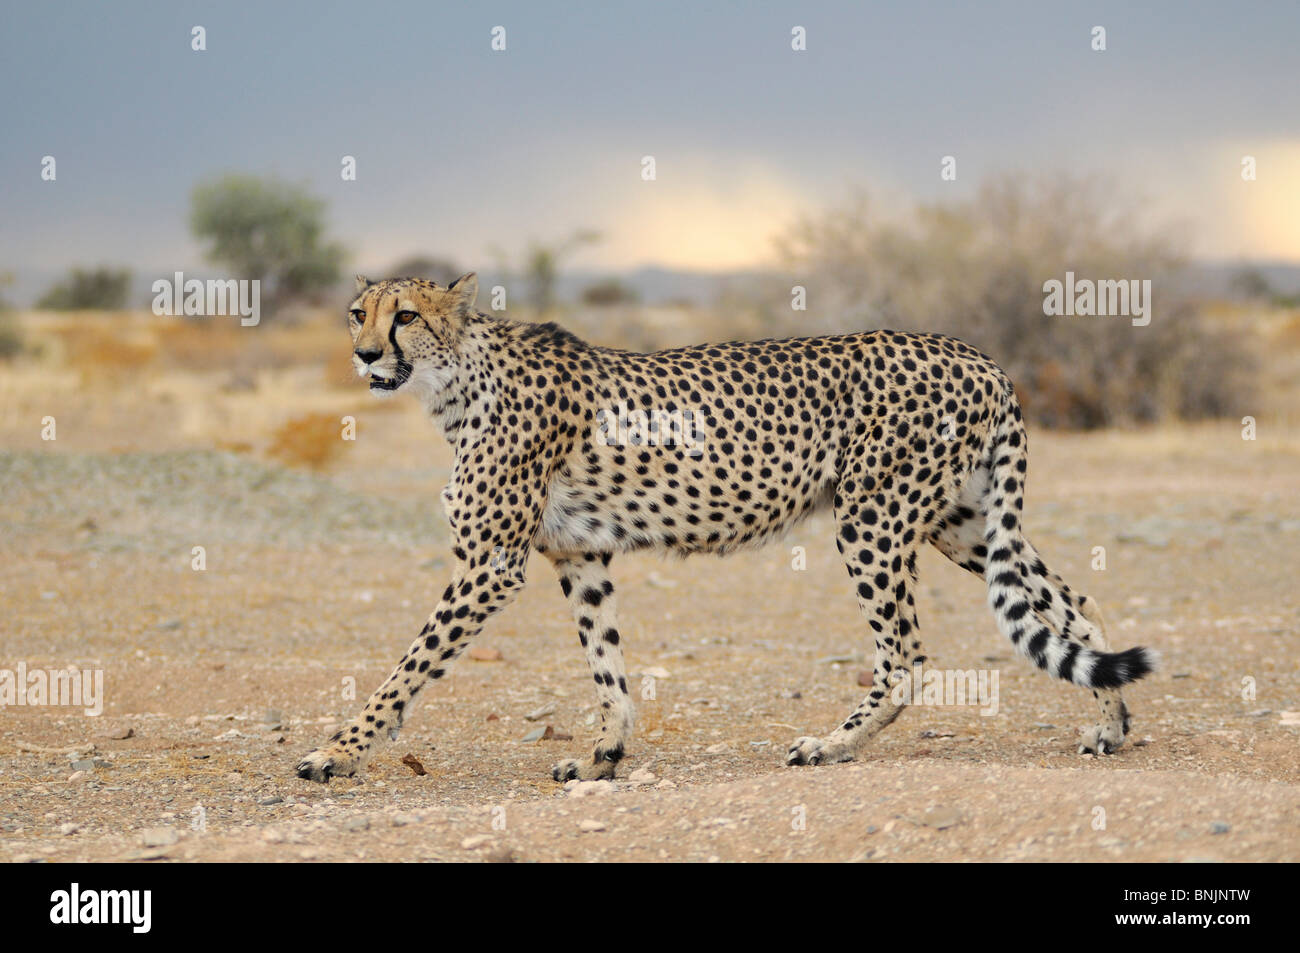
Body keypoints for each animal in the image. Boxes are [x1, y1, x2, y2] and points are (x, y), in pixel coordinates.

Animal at [295, 273, 1155, 784]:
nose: (364, 353)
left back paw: (831, 743)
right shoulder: (580, 553)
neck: (455, 380)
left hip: (872, 515)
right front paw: (605, 753)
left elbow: (406, 669)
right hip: (963, 520)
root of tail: (977, 354)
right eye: (358, 312)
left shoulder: (491, 562)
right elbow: (606, 663)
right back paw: (1109, 725)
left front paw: (334, 750)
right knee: (1072, 606)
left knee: (906, 651)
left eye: (406, 315)